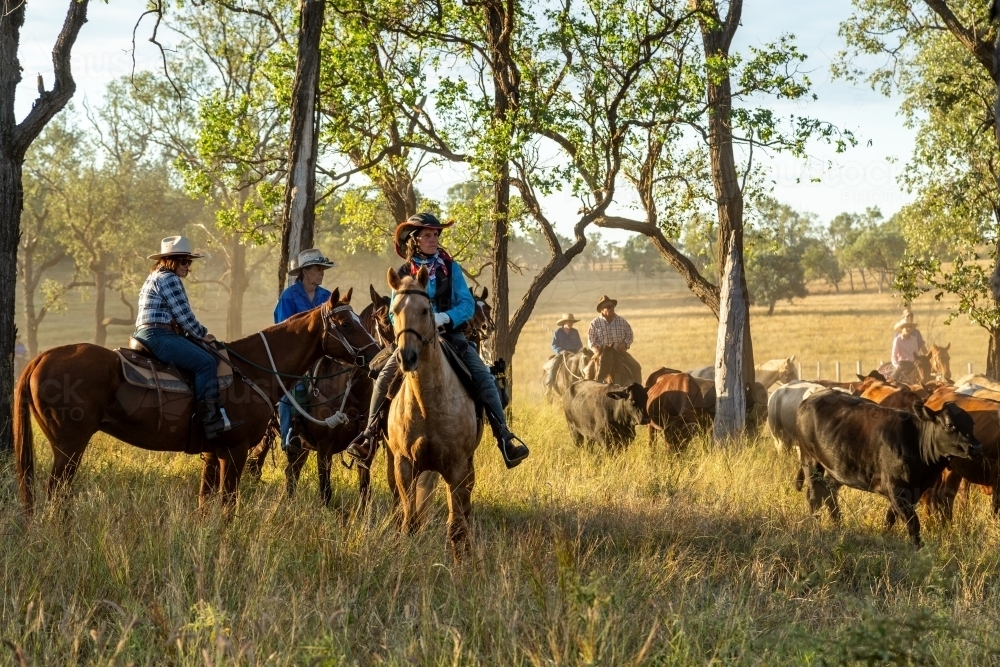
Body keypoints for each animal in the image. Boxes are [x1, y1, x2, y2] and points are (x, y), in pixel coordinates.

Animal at [14, 288, 379, 517]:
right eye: (345, 323)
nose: (376, 355)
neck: (252, 368)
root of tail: (38, 359)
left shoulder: (213, 453)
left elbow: (206, 502)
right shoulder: (235, 450)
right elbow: (228, 504)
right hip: (69, 445)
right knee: (57, 492)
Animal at [384, 266, 482, 560]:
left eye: (426, 310)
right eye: (394, 310)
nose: (407, 357)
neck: (428, 403)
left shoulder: (457, 467)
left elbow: (456, 525)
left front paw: (462, 561)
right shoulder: (404, 465)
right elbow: (410, 521)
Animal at [795, 391, 981, 546]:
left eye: (971, 423)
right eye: (950, 425)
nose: (976, 447)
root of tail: (809, 400)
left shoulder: (913, 490)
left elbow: (890, 518)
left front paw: (883, 537)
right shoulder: (897, 489)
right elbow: (913, 523)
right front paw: (918, 550)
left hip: (839, 467)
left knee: (828, 492)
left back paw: (838, 525)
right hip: (810, 460)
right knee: (814, 496)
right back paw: (817, 529)